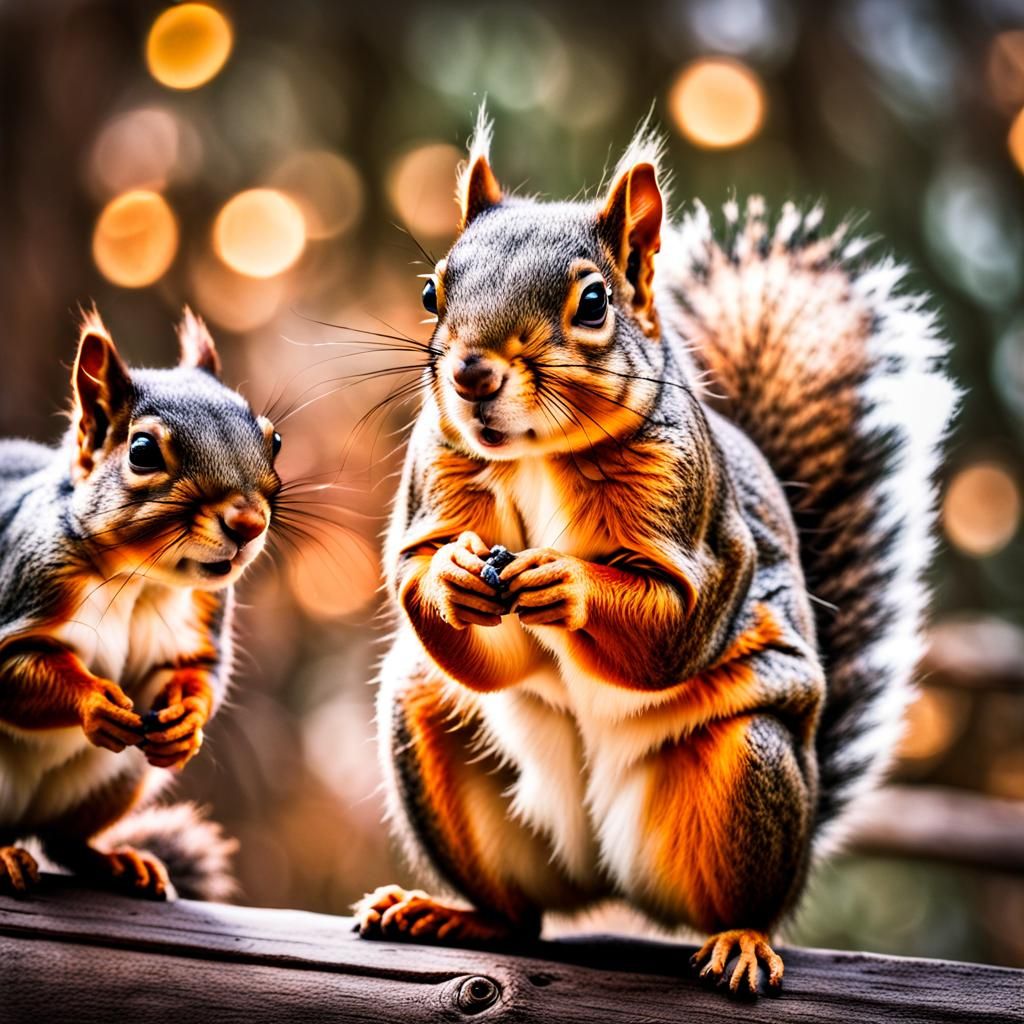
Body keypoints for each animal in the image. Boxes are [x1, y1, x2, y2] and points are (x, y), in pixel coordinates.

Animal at [0, 307, 280, 901]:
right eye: (143, 452)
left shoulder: (199, 627)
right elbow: (18, 670)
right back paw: (0, 857)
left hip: (118, 780)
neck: (141, 580)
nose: (248, 523)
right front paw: (96, 703)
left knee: (61, 840)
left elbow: (195, 674)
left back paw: (114, 862)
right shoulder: (23, 591)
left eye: (275, 440)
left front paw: (187, 720)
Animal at [354, 111, 957, 995]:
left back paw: (741, 940)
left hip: (751, 763)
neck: (536, 456)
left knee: (744, 902)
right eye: (433, 291)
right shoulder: (434, 484)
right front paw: (457, 576)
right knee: (519, 917)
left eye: (593, 301)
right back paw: (448, 913)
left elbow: (673, 624)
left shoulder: (699, 534)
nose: (470, 373)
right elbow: (429, 582)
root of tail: (605, 875)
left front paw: (567, 583)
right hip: (427, 726)